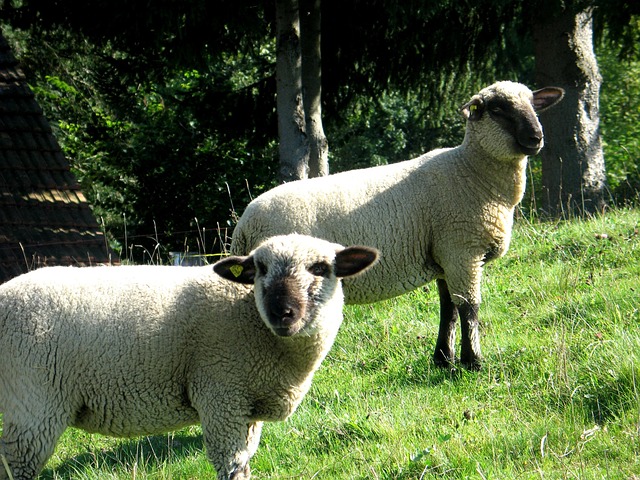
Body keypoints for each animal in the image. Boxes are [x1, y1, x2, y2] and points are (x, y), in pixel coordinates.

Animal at [0, 234, 379, 480]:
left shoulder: (246, 406)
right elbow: (233, 467)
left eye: (320, 268)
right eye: (259, 268)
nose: (281, 312)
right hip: (33, 401)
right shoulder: (221, 395)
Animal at [231, 81, 564, 370]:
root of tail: (244, 224)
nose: (536, 138)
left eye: (533, 103)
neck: (470, 171)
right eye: (496, 109)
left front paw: (444, 359)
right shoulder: (462, 250)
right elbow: (469, 307)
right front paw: (474, 363)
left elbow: (448, 309)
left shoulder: (445, 254)